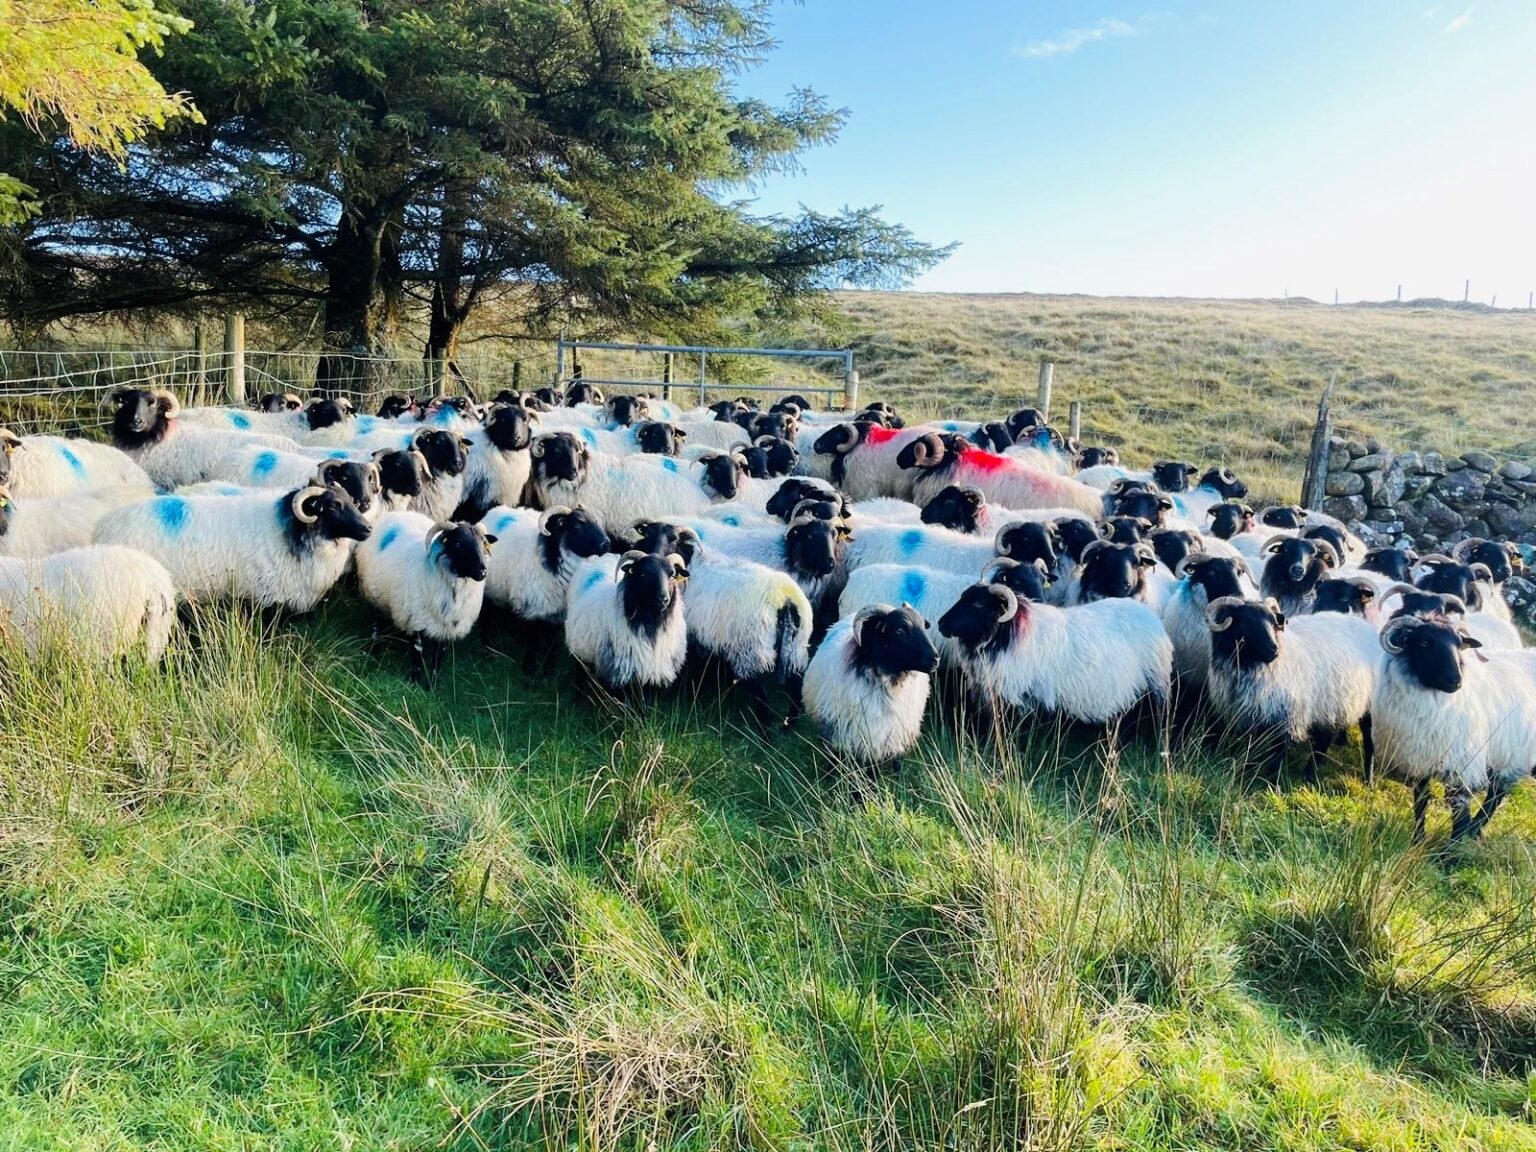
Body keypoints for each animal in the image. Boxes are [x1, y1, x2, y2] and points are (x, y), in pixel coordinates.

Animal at [355, 513, 497, 682]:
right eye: (458, 543)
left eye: (484, 543)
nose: (482, 571)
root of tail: (390, 515)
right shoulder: (415, 620)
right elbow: (417, 652)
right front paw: (414, 681)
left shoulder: (447, 628)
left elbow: (439, 657)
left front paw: (432, 684)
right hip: (372, 596)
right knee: (377, 628)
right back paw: (376, 651)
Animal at [564, 550, 689, 694]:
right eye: (643, 574)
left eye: (672, 576)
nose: (663, 600)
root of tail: (598, 560)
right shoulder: (617, 672)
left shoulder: (650, 672)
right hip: (579, 651)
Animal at [937, 579, 1171, 728]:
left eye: (978, 604)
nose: (941, 624)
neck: (1007, 635)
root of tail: (1151, 617)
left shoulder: (1023, 700)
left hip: (1154, 684)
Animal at [1203, 596, 1378, 783]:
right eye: (1244, 622)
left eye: (1274, 623)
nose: (1274, 650)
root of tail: (1363, 624)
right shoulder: (1252, 715)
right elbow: (1252, 745)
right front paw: (1247, 771)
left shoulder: (1286, 717)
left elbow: (1277, 753)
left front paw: (1272, 781)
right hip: (1330, 705)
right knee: (1324, 739)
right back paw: (1309, 775)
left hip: (1368, 707)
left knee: (1367, 742)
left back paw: (1367, 779)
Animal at [1372, 614, 1536, 841]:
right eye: (1424, 642)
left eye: (1459, 645)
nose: (1456, 681)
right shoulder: (1420, 759)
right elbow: (1421, 800)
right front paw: (1418, 840)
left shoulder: (1461, 764)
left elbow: (1459, 810)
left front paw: (1453, 847)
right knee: (1496, 794)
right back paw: (1475, 832)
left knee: (1495, 795)